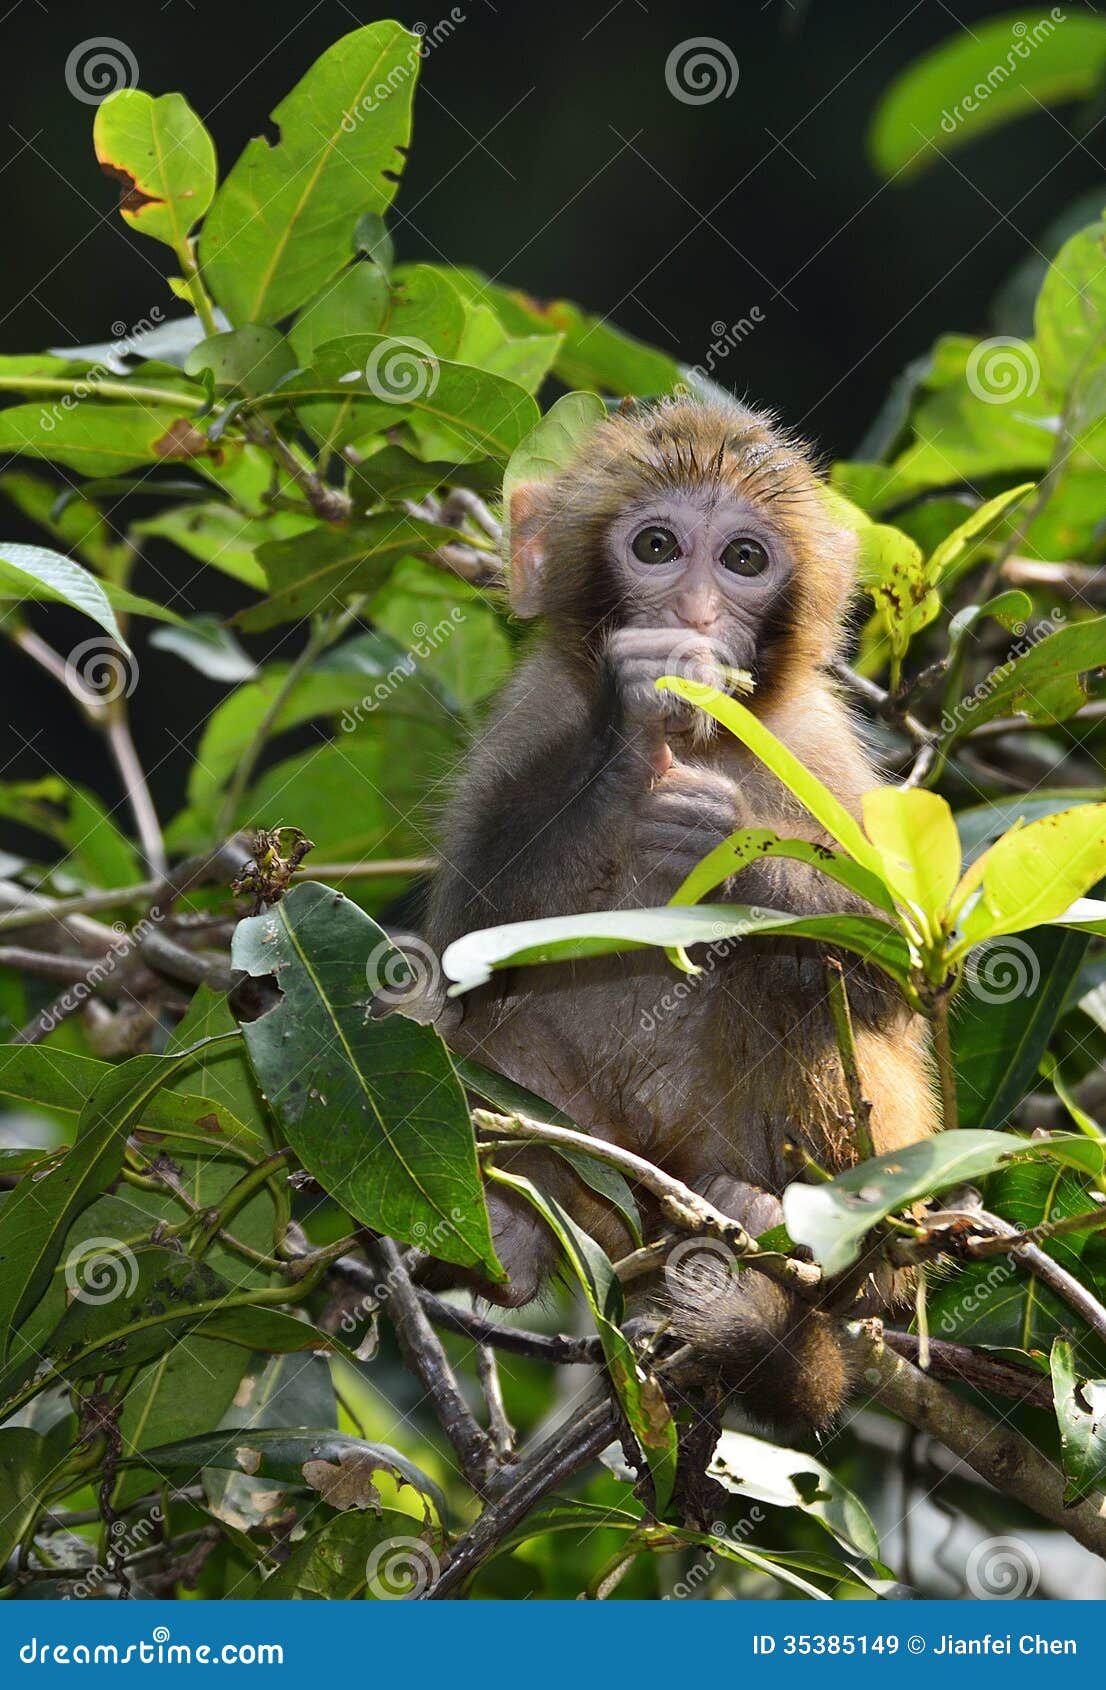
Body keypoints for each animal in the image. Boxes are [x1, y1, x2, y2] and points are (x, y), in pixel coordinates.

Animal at [424, 395, 939, 1429]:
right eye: (656, 546)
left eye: (743, 559)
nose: (694, 616)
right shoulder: (533, 712)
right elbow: (467, 944)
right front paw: (629, 736)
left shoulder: (818, 747)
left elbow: (893, 971)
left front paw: (722, 844)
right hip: (601, 1173)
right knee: (487, 1027)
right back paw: (511, 1236)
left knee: (805, 1001)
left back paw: (789, 1237)